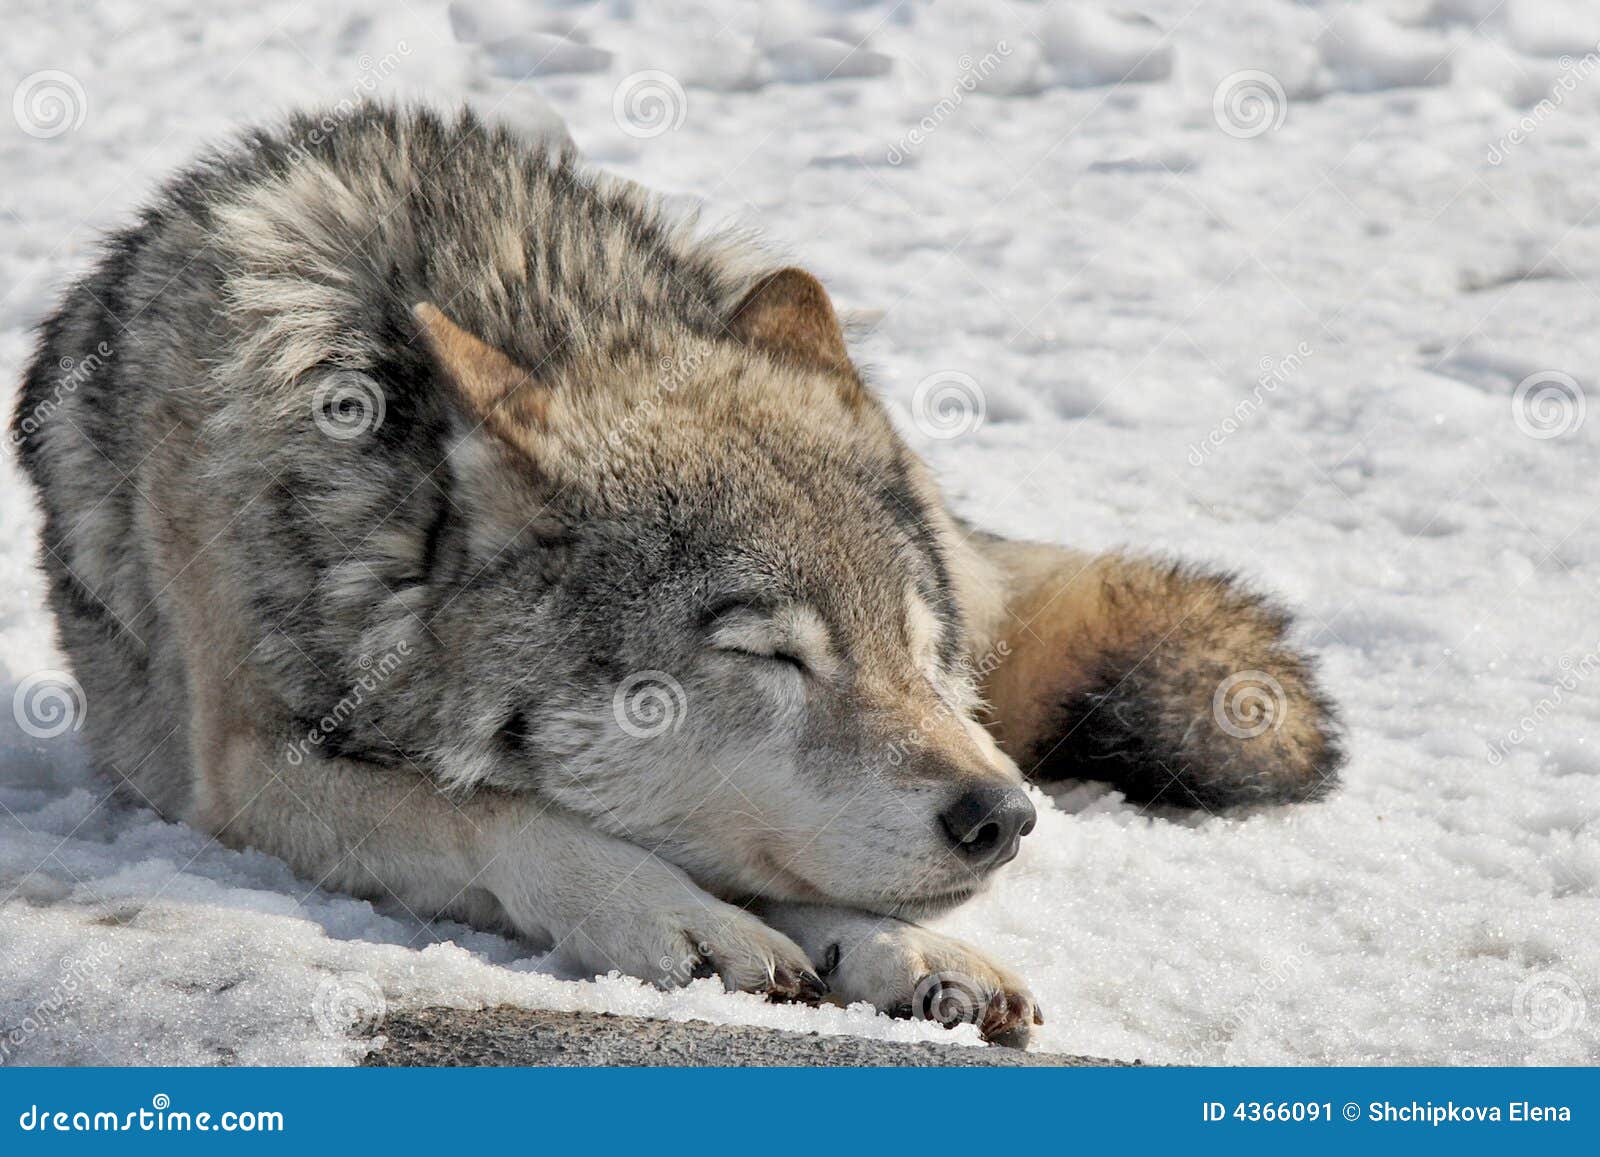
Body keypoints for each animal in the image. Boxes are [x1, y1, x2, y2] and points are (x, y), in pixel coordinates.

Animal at [12, 105, 1341, 1047]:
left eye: (914, 648)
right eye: (769, 654)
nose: (1001, 817)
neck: (383, 543)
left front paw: (904, 950)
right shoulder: (253, 770)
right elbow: (490, 808)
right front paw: (676, 915)